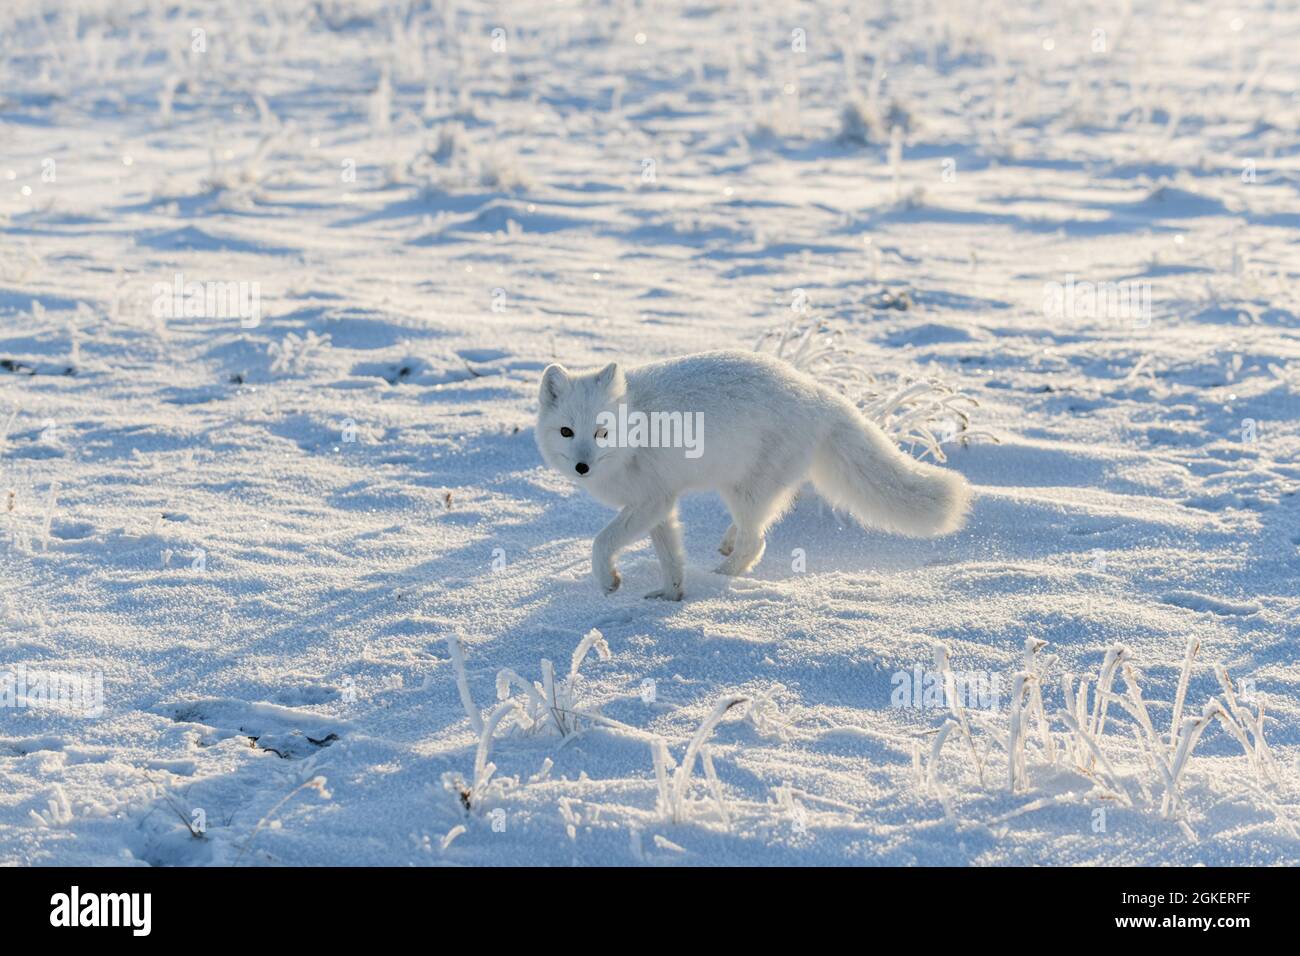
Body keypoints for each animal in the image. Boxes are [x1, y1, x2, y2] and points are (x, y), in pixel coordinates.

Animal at [536, 349, 971, 600]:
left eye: (602, 432)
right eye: (567, 432)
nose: (582, 467)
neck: (637, 429)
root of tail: (819, 394)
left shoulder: (650, 501)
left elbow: (601, 542)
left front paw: (608, 581)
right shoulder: (659, 504)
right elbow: (670, 556)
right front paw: (671, 593)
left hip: (744, 490)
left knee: (756, 542)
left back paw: (720, 578)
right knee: (754, 531)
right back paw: (724, 549)